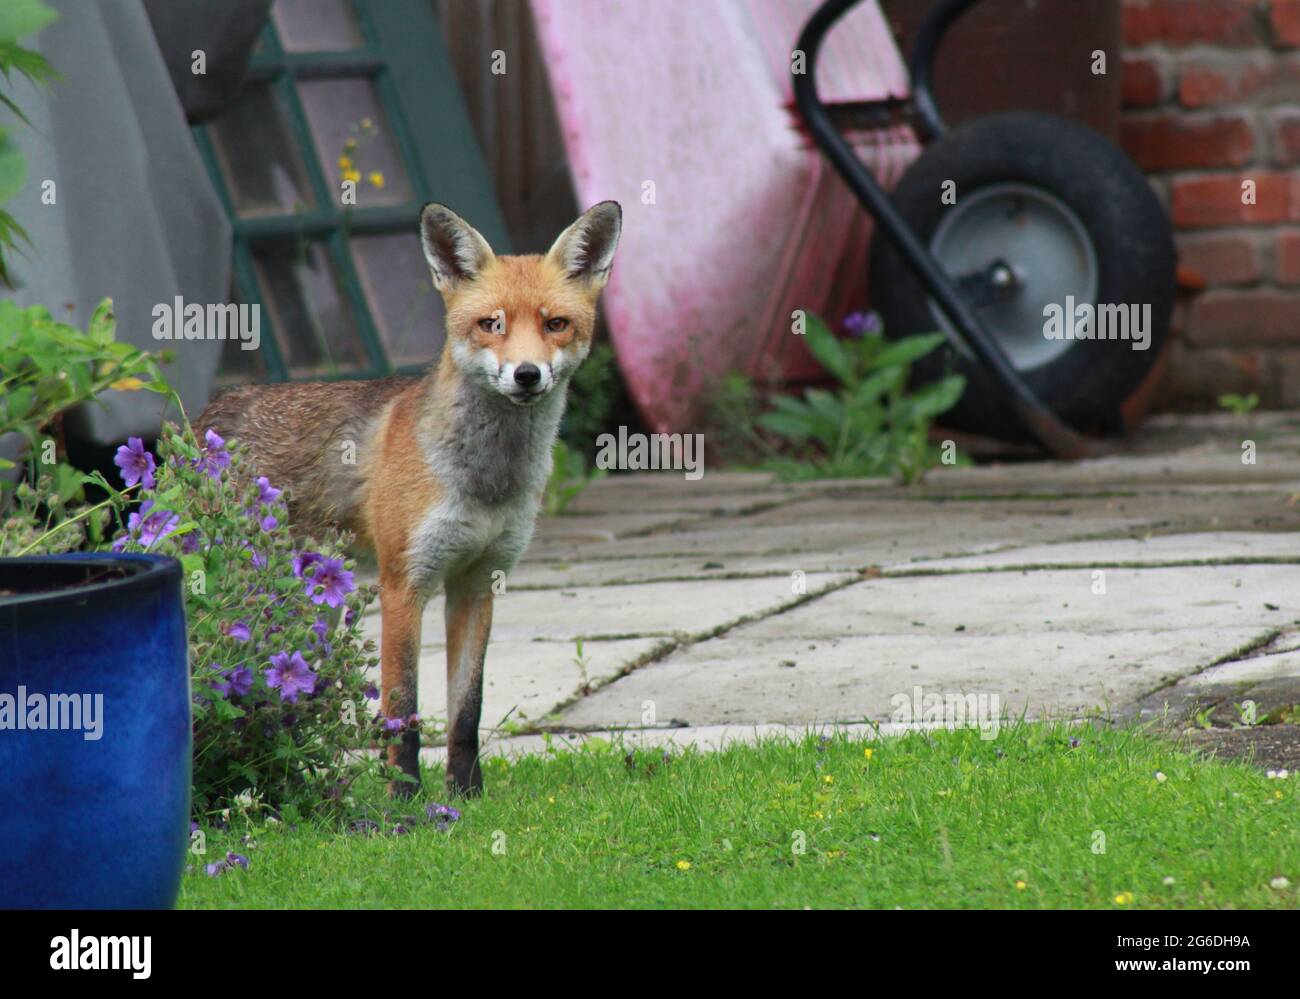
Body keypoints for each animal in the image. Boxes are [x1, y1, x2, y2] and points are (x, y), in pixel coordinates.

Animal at [196, 201, 622, 797]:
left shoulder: (477, 584)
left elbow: (467, 710)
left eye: (555, 324)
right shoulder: (405, 583)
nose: (527, 374)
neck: (485, 481)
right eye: (491, 324)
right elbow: (403, 709)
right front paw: (405, 799)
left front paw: (466, 796)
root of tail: (212, 410)